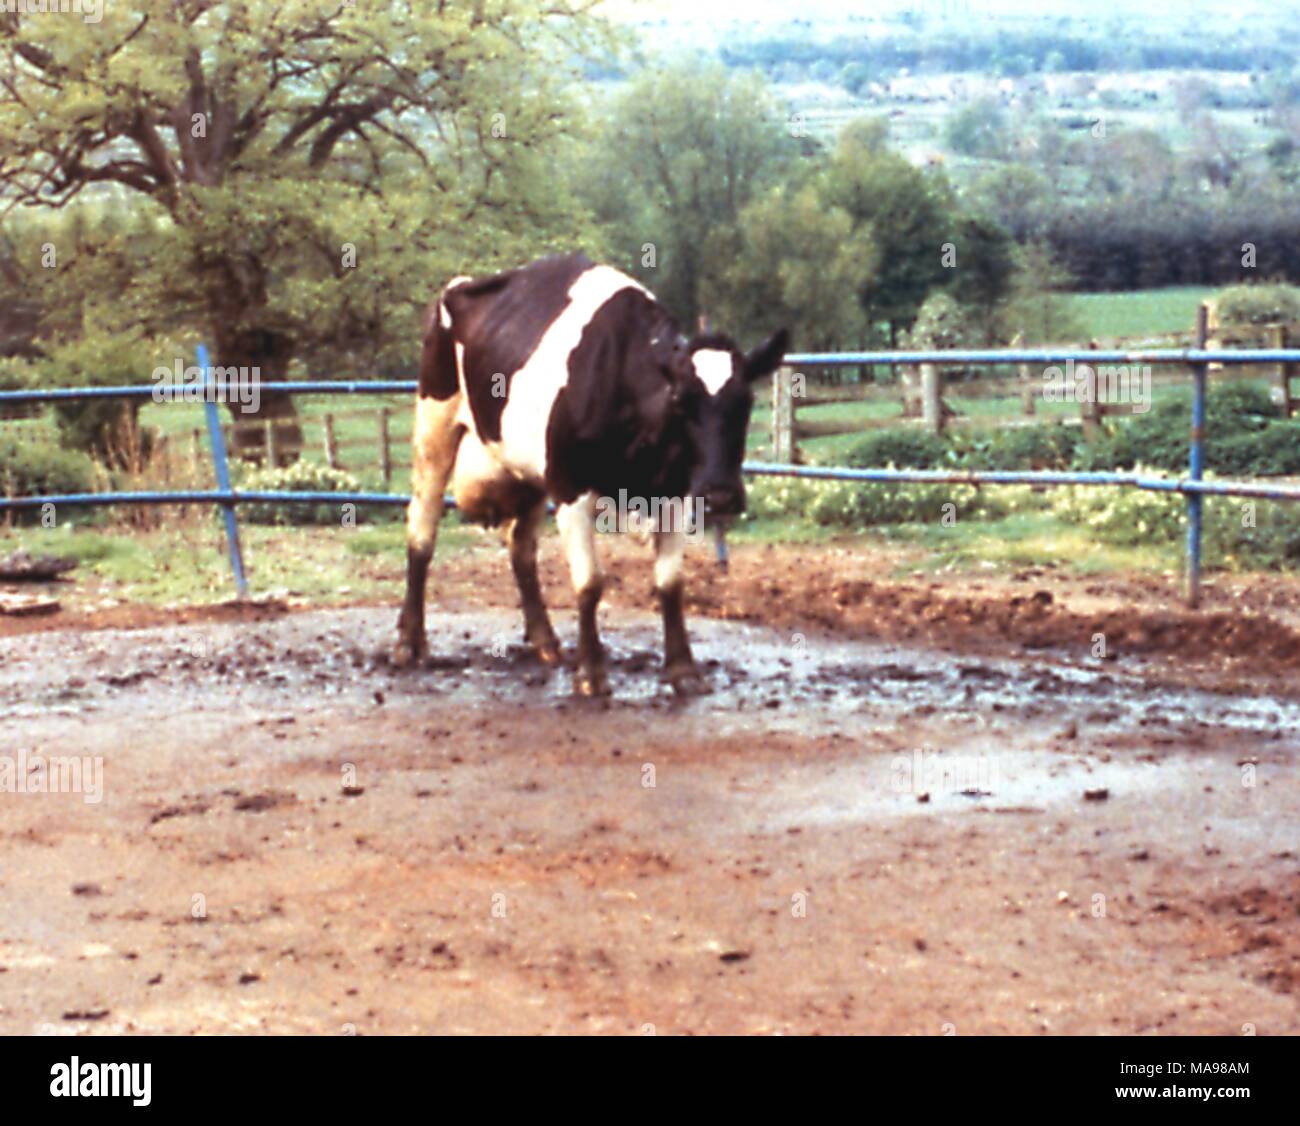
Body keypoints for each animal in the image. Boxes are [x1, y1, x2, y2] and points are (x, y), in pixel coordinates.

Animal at [393, 252, 789, 696]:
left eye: (746, 401)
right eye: (681, 401)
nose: (720, 494)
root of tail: (461, 285)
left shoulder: (675, 492)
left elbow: (671, 582)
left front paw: (682, 668)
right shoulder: (570, 488)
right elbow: (590, 582)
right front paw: (591, 673)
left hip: (529, 469)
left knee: (521, 548)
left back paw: (544, 640)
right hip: (434, 425)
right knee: (422, 529)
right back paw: (410, 641)